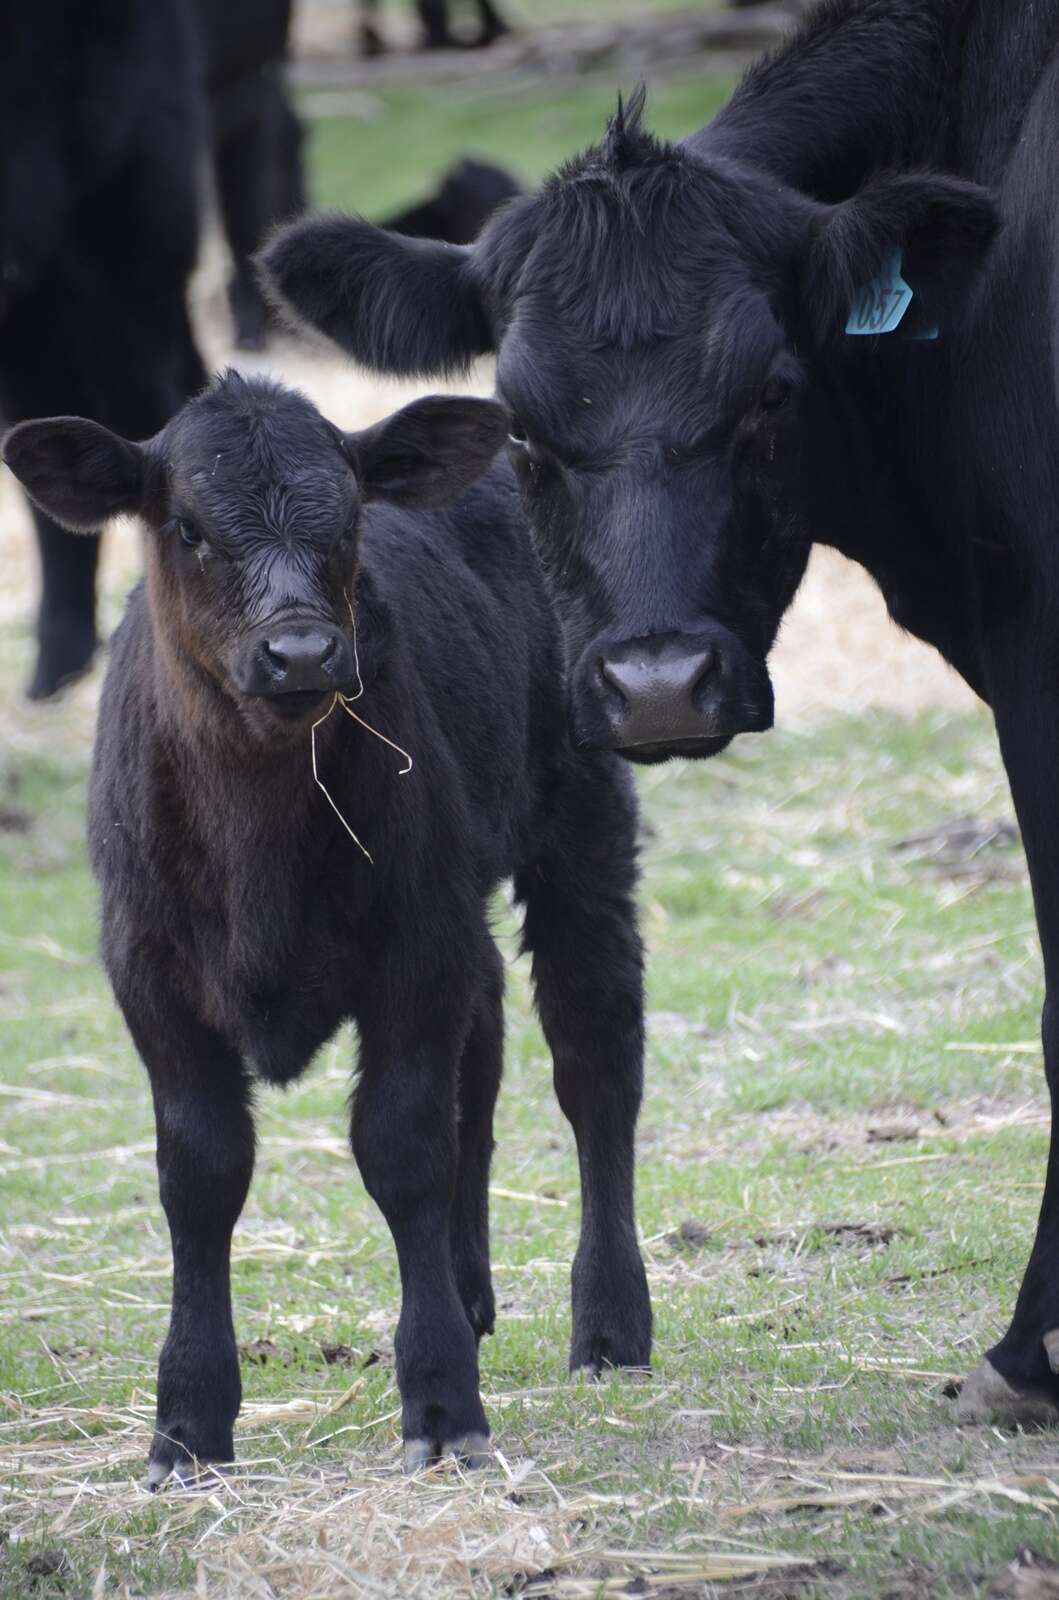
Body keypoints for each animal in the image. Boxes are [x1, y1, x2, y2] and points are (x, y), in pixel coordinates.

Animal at [1, 372, 651, 1481]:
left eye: (348, 519)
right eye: (186, 526)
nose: (301, 650)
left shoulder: (411, 950)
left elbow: (401, 1144)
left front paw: (441, 1400)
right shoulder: (149, 972)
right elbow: (201, 1172)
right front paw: (188, 1422)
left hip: (581, 813)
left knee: (592, 1050)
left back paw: (609, 1324)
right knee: (486, 1041)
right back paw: (470, 1287)